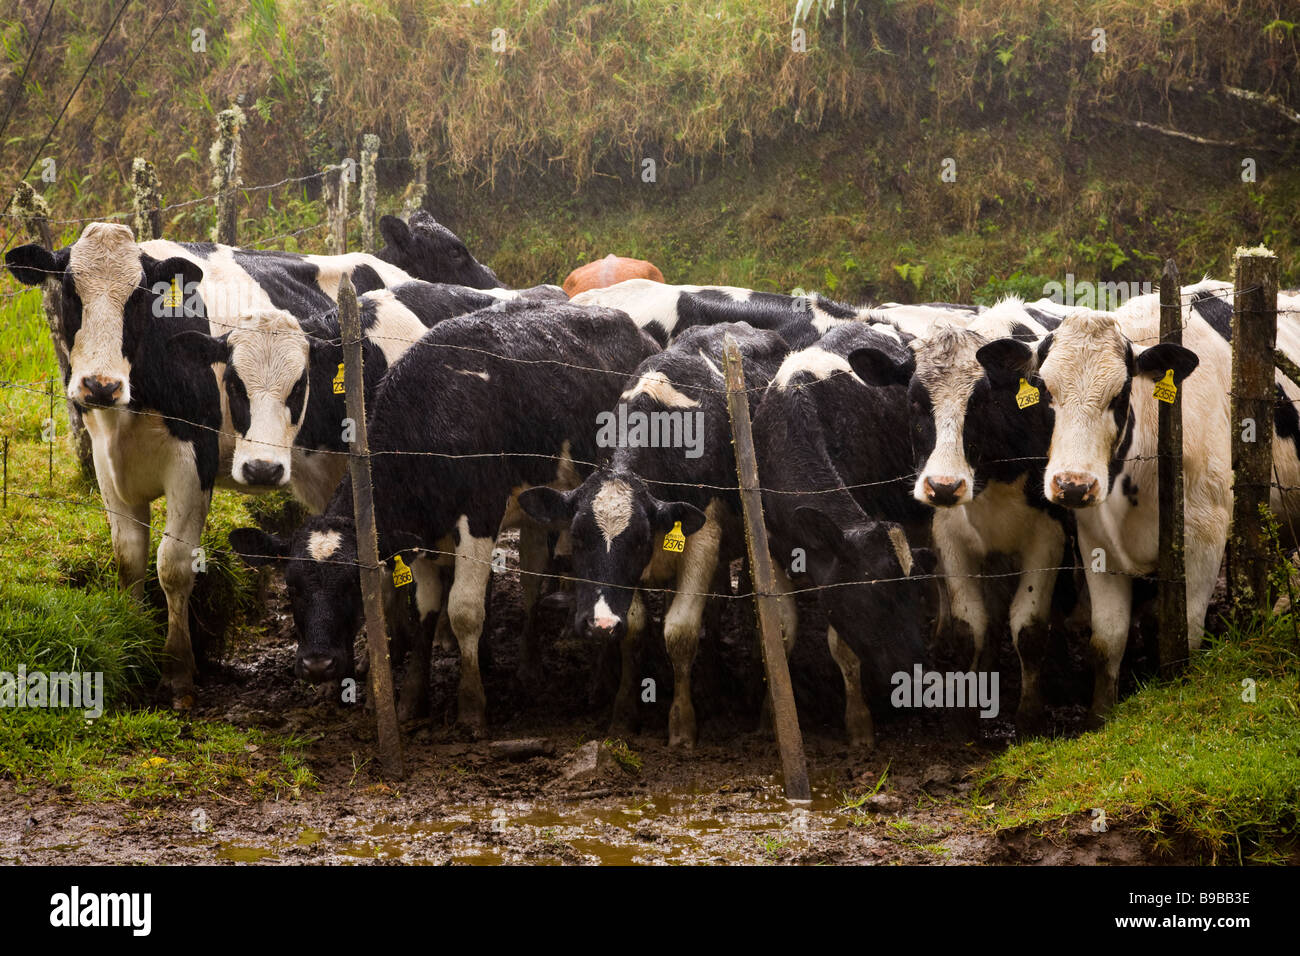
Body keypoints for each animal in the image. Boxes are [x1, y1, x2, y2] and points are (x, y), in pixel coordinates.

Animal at [227, 301, 660, 735]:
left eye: (354, 585)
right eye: (291, 586)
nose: (318, 664)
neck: (429, 420)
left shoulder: (480, 517)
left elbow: (464, 610)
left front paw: (471, 707)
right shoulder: (416, 536)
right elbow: (425, 611)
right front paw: (411, 699)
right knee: (533, 580)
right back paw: (529, 667)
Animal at [517, 322, 790, 747]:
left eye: (640, 540)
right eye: (577, 538)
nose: (598, 624)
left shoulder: (703, 538)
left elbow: (679, 632)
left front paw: (682, 724)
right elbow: (634, 630)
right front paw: (624, 714)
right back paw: (713, 682)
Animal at [752, 322, 939, 747]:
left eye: (912, 590)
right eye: (876, 593)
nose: (917, 673)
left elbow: (843, 647)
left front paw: (859, 722)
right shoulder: (771, 547)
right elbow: (780, 632)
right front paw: (773, 712)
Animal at [846, 298, 1069, 734]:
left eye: (980, 402)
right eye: (914, 401)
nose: (944, 486)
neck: (993, 477)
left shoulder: (1048, 536)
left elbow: (1029, 628)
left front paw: (1029, 715)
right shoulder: (949, 536)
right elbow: (971, 626)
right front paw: (966, 713)